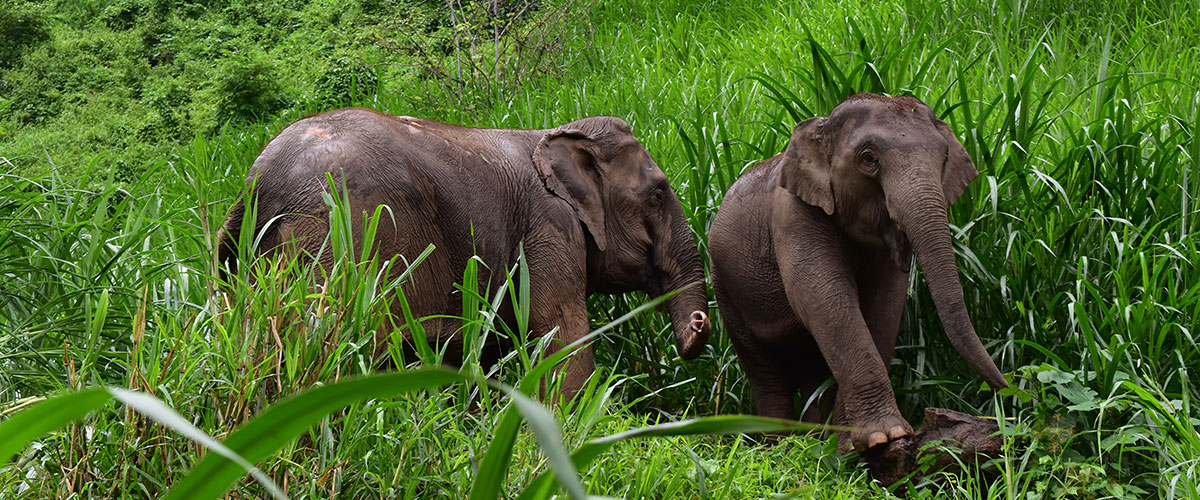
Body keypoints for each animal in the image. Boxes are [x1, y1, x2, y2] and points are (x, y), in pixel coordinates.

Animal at [215, 108, 712, 399]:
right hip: (333, 244)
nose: (699, 322)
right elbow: (562, 341)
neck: (549, 135)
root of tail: (256, 184)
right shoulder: (549, 227)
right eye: (658, 194)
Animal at [708, 93, 1007, 452]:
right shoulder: (793, 213)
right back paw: (778, 445)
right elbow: (823, 299)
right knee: (766, 370)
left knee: (812, 366)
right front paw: (883, 438)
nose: (1009, 392)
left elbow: (884, 307)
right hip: (724, 284)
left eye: (945, 156)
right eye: (868, 159)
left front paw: (852, 445)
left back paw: (814, 438)